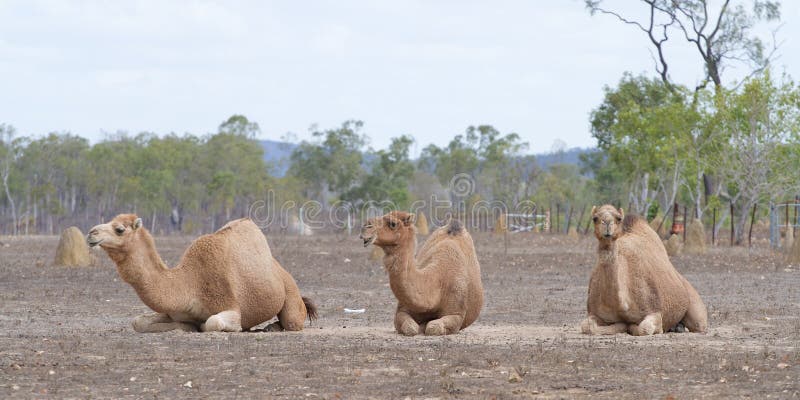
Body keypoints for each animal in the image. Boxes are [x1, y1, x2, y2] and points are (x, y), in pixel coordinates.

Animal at [87, 214, 317, 333]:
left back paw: (273, 327)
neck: (191, 282)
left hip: (290, 292)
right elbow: (138, 322)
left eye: (119, 229)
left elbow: (212, 323)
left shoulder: (230, 305)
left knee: (293, 321)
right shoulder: (172, 310)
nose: (91, 233)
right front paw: (185, 326)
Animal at [580, 205, 707, 336]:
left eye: (619, 218)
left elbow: (645, 328)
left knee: (698, 324)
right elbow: (586, 326)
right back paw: (677, 327)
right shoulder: (594, 312)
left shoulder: (654, 311)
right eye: (595, 218)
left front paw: (628, 326)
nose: (607, 223)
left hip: (694, 307)